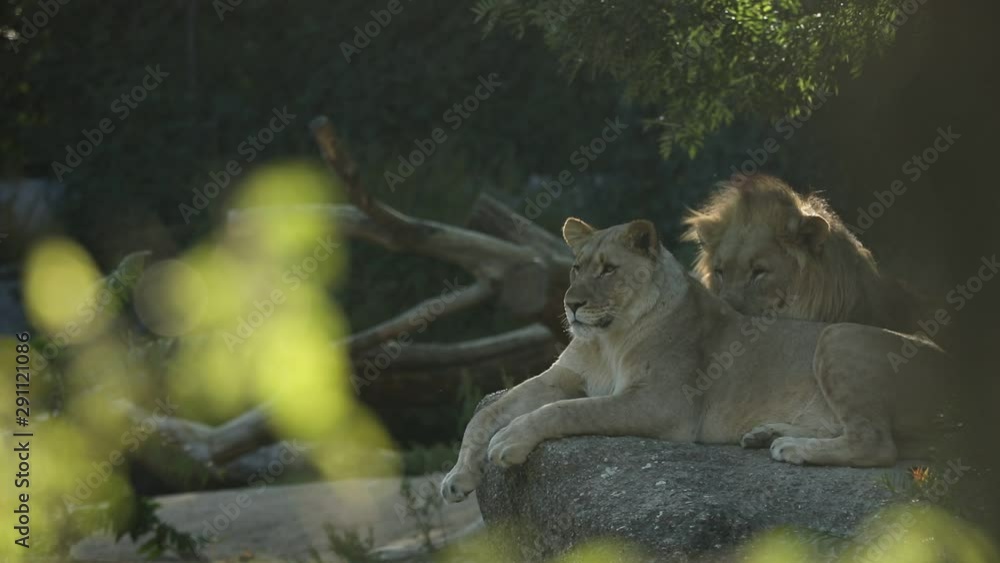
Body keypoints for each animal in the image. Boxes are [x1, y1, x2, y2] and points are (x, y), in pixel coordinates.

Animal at [440, 217, 953, 503]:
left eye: (608, 270)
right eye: (576, 267)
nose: (570, 305)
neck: (607, 341)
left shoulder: (662, 405)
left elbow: (563, 411)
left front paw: (509, 442)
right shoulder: (564, 376)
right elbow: (486, 413)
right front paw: (458, 477)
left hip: (838, 335)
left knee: (877, 443)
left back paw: (791, 448)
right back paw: (768, 433)